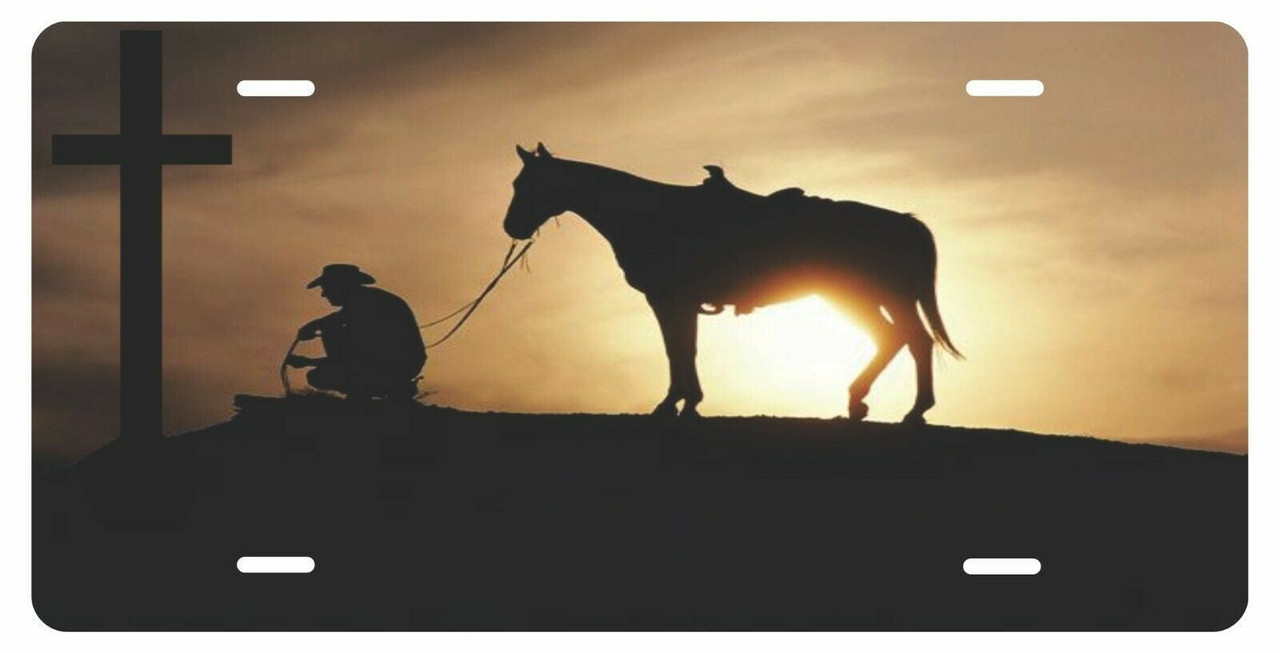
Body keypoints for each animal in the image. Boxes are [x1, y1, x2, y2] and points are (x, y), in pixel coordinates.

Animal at [503, 143, 961, 424]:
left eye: (528, 184)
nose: (512, 227)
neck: (649, 215)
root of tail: (903, 222)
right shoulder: (678, 302)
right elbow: (684, 350)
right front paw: (688, 403)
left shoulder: (668, 300)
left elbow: (678, 351)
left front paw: (673, 404)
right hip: (868, 297)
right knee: (904, 339)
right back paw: (872, 402)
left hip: (862, 296)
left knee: (907, 339)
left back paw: (903, 407)